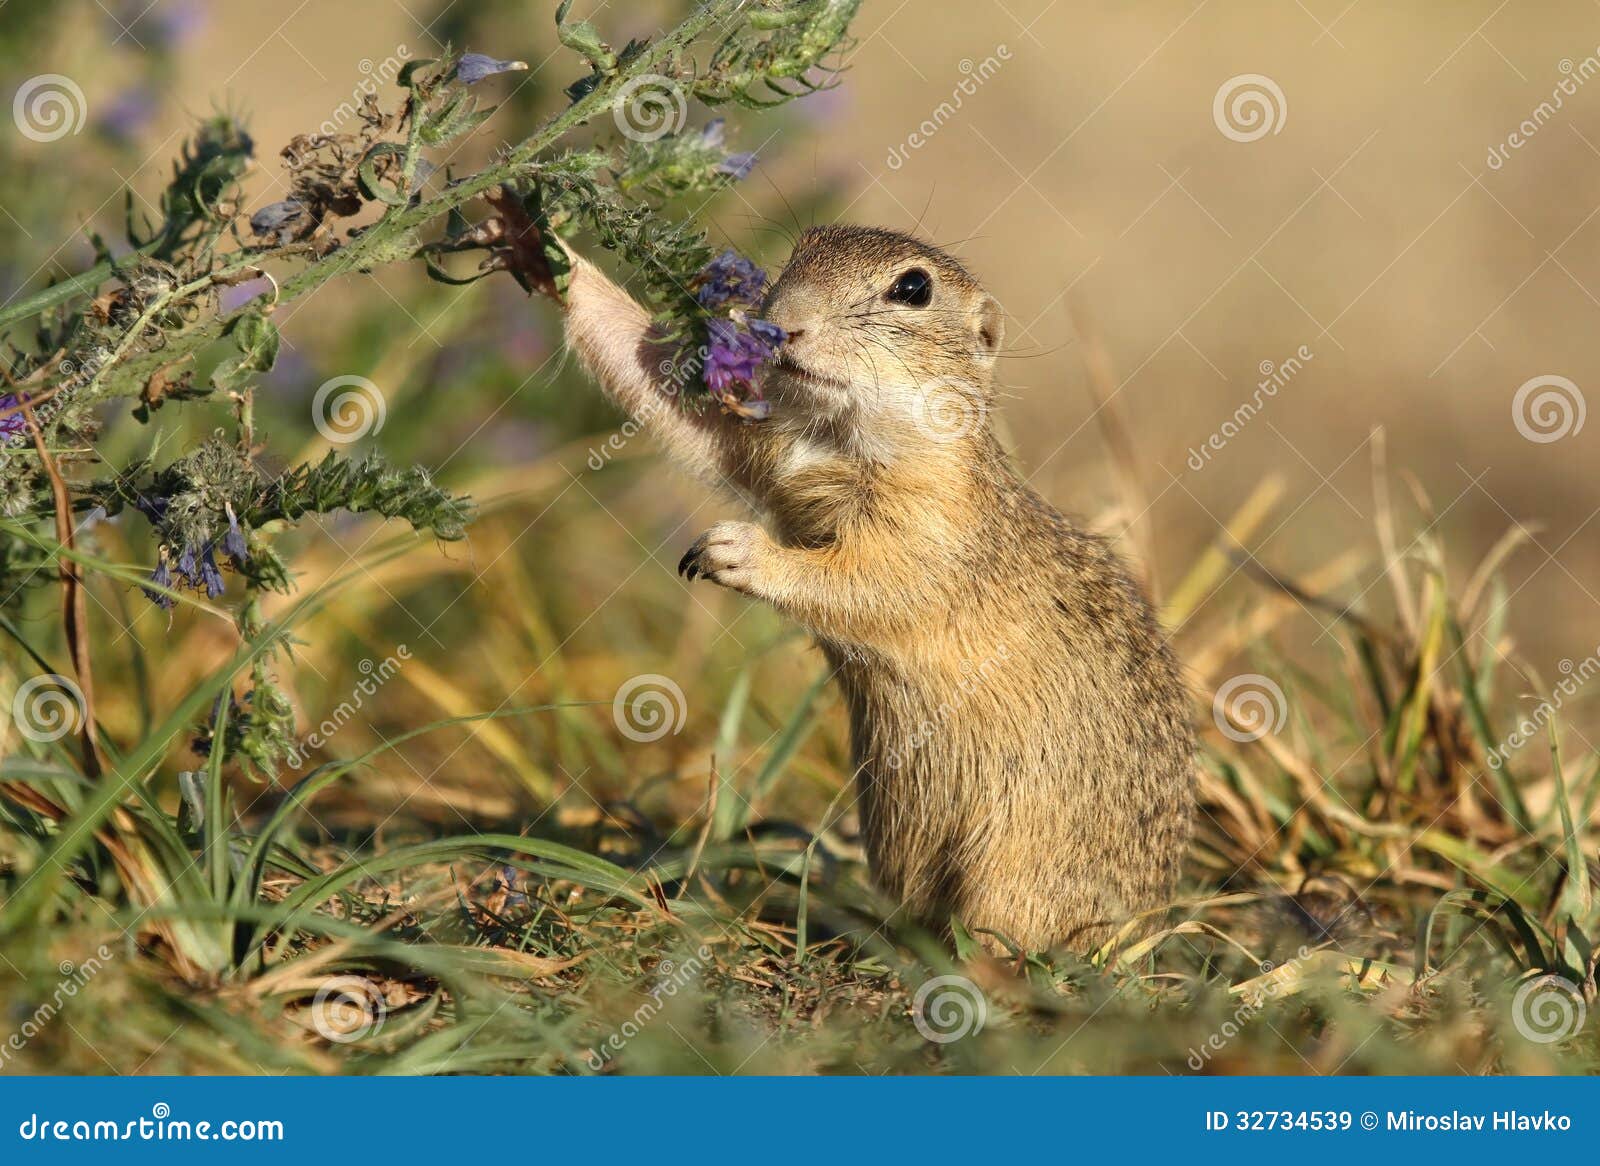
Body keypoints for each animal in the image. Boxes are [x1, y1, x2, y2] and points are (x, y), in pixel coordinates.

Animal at [553, 224, 1194, 953]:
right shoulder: (768, 449)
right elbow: (670, 400)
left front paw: (736, 550)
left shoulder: (934, 533)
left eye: (913, 288)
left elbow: (872, 584)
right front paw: (544, 249)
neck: (844, 436)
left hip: (1013, 871)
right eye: (800, 252)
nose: (782, 325)